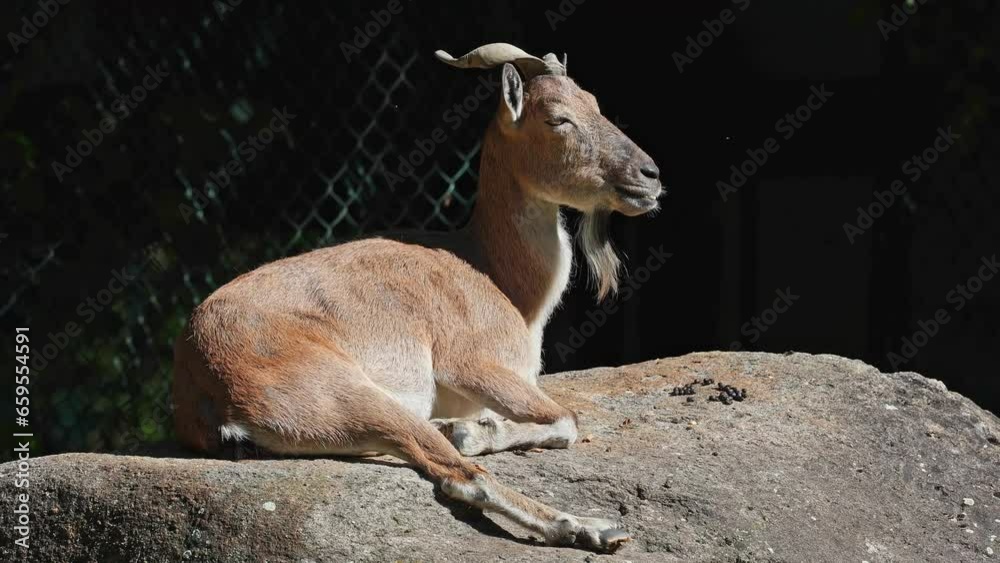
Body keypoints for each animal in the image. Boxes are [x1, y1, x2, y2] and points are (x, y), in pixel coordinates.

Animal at [172, 43, 664, 552]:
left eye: (594, 103)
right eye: (557, 118)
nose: (649, 176)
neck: (498, 275)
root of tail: (204, 387)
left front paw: (470, 426)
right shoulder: (475, 363)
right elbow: (566, 419)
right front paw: (472, 430)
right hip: (351, 395)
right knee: (462, 477)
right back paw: (591, 527)